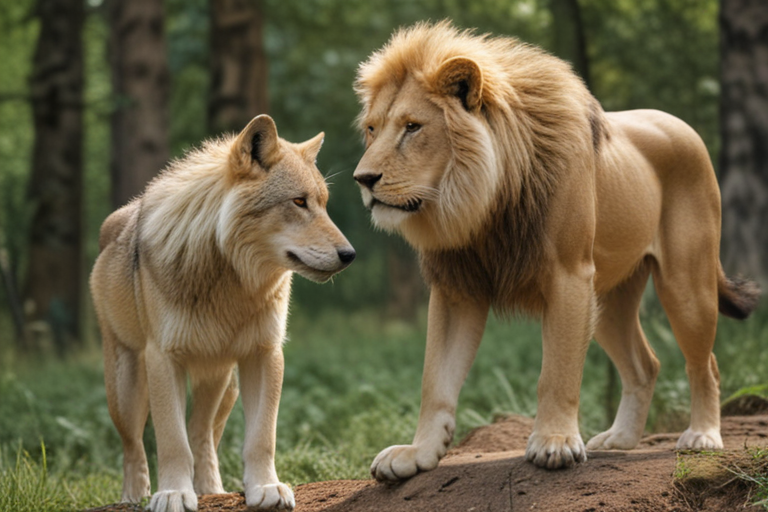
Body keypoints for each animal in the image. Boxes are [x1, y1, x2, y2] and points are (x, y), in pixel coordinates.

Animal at [90, 114, 355, 511]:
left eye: (323, 204)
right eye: (298, 201)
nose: (349, 254)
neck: (231, 283)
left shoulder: (265, 355)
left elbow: (261, 437)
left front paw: (265, 488)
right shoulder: (162, 359)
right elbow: (171, 441)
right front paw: (172, 494)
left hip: (222, 381)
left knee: (202, 434)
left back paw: (210, 491)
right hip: (125, 391)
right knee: (134, 445)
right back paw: (135, 497)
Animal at [352, 21, 760, 480]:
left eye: (412, 127)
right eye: (372, 129)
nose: (363, 179)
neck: (480, 205)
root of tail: (681, 125)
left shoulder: (568, 275)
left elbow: (557, 372)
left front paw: (555, 443)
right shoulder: (456, 288)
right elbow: (435, 380)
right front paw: (417, 453)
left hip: (685, 284)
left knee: (705, 364)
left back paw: (703, 436)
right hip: (607, 300)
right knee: (646, 364)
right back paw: (620, 440)